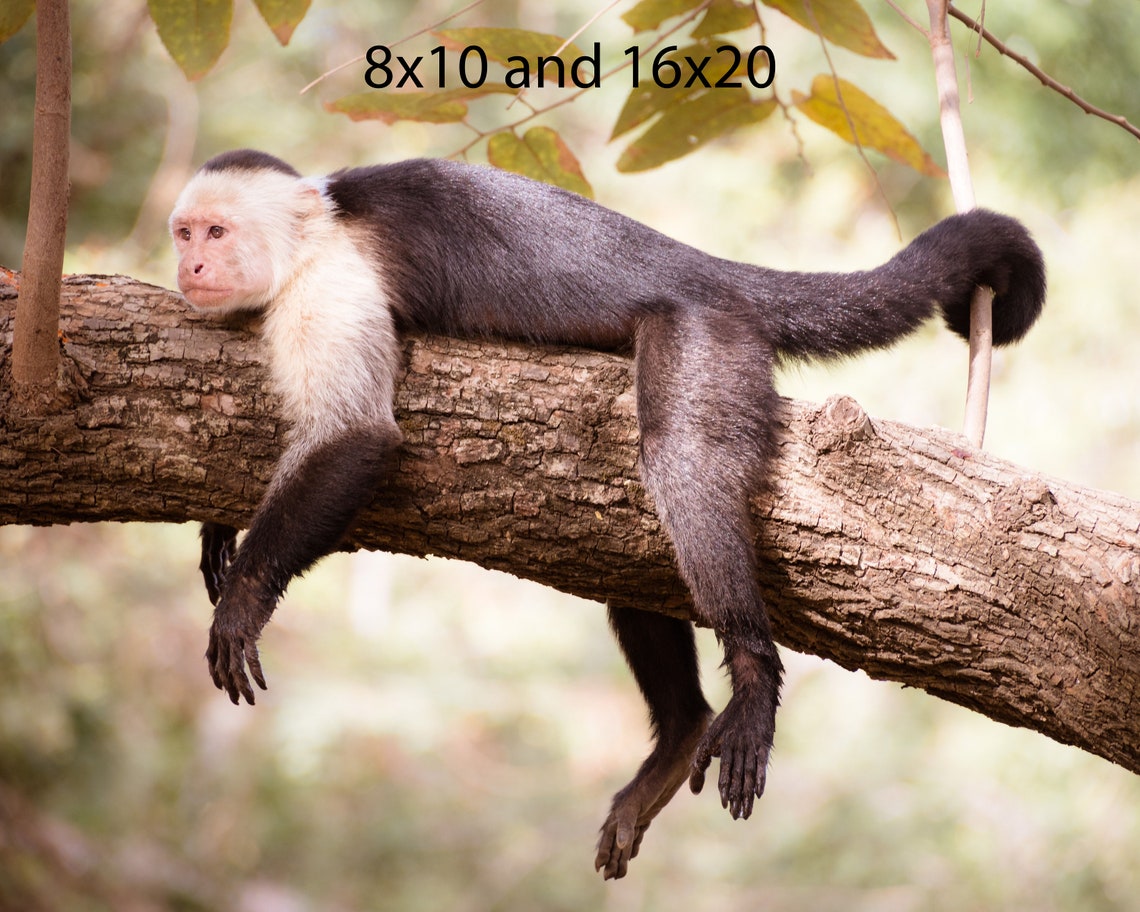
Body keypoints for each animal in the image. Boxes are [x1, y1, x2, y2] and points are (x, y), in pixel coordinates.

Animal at [169, 148, 1046, 879]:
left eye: (216, 230)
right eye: (182, 233)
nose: (191, 264)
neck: (319, 229)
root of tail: (712, 271)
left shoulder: (331, 284)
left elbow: (356, 437)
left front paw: (246, 597)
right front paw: (221, 528)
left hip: (707, 334)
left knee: (683, 468)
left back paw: (752, 670)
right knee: (628, 557)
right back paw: (681, 731)